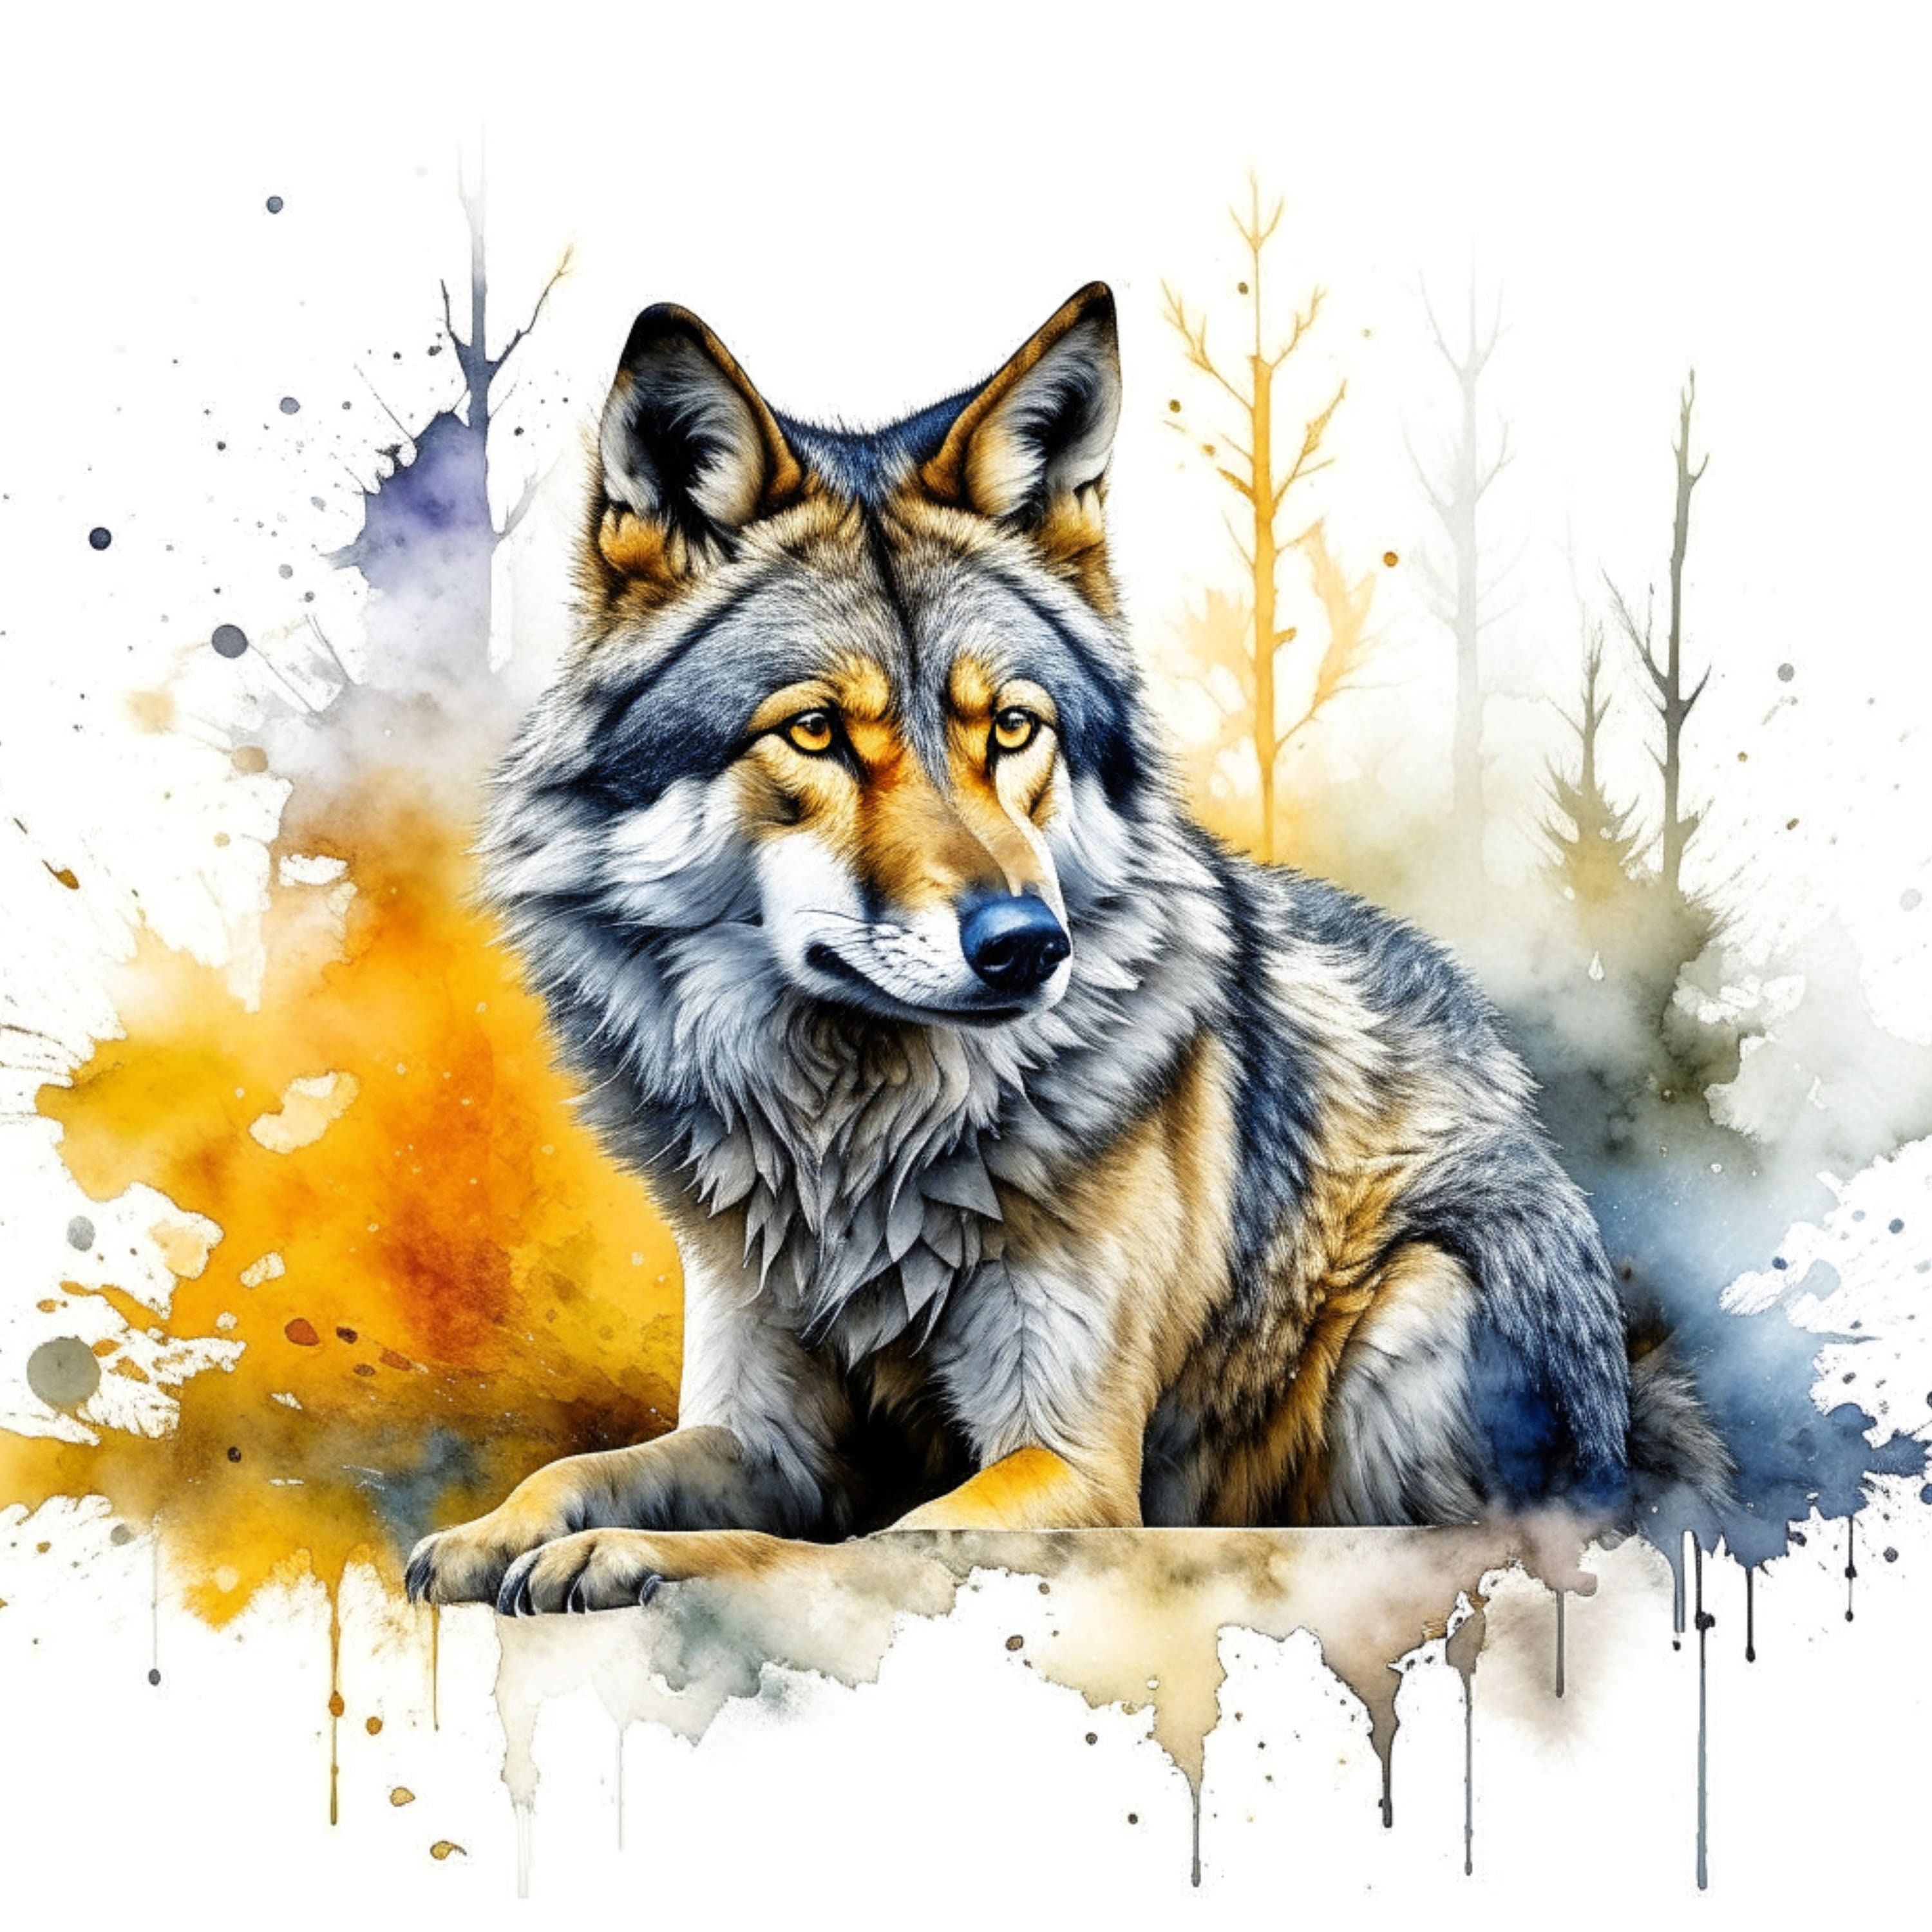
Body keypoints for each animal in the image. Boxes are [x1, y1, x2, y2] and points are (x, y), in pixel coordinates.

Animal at [406, 283, 1727, 1614]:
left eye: (1012, 729)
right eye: (818, 733)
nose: (1026, 946)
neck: (856, 1141)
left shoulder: (1072, 1465)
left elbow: (833, 1551)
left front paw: (640, 1559)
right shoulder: (761, 1433)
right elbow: (588, 1466)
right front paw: (496, 1532)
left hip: (1423, 1297)